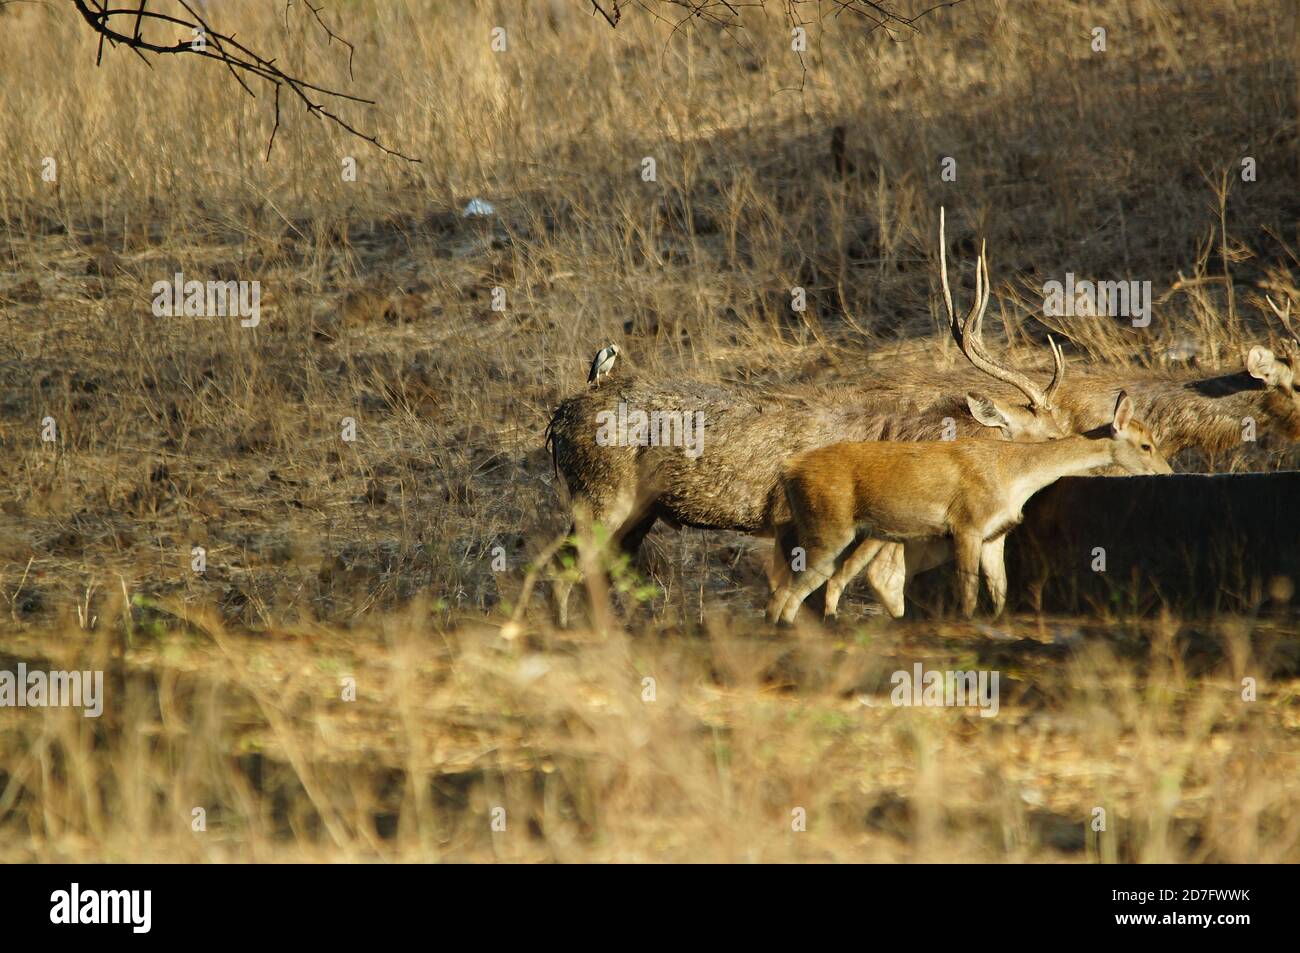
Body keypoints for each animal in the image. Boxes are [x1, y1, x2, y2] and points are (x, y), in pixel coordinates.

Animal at [767, 388, 1173, 625]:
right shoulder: (967, 525)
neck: (1014, 474)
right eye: (1146, 445)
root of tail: (788, 470)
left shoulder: (995, 535)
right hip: (828, 529)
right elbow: (967, 594)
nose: (1168, 471)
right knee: (785, 594)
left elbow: (999, 592)